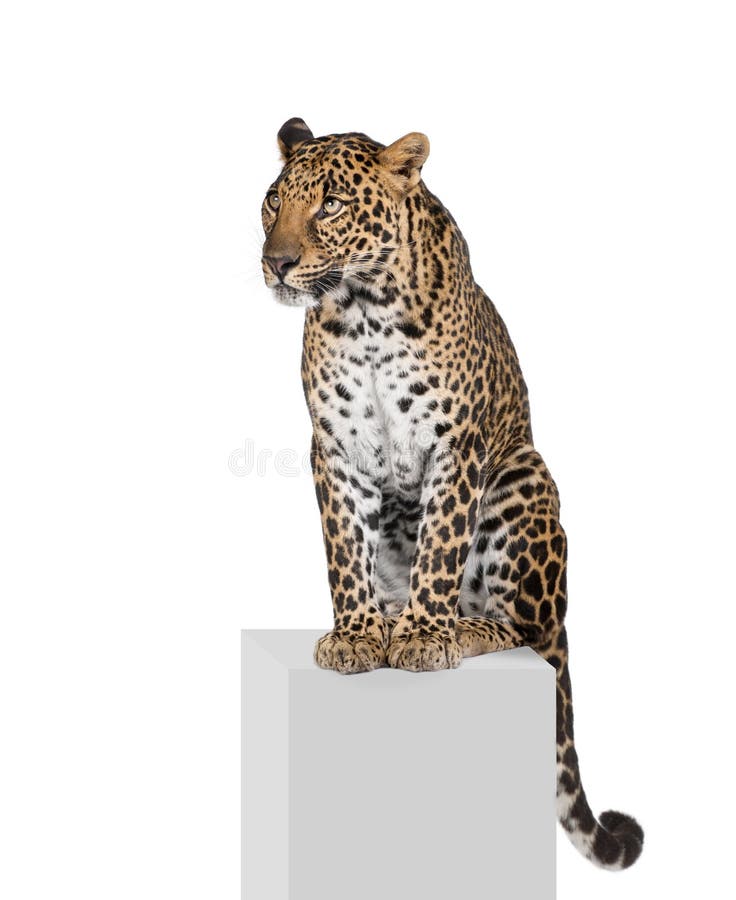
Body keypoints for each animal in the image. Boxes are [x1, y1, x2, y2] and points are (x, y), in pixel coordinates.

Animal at [260, 117, 644, 870]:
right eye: (273, 204)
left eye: (330, 205)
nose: (276, 262)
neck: (364, 313)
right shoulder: (335, 449)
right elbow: (343, 553)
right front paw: (357, 636)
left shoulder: (455, 446)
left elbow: (440, 548)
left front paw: (424, 638)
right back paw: (389, 617)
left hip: (524, 481)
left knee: (522, 626)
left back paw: (459, 627)